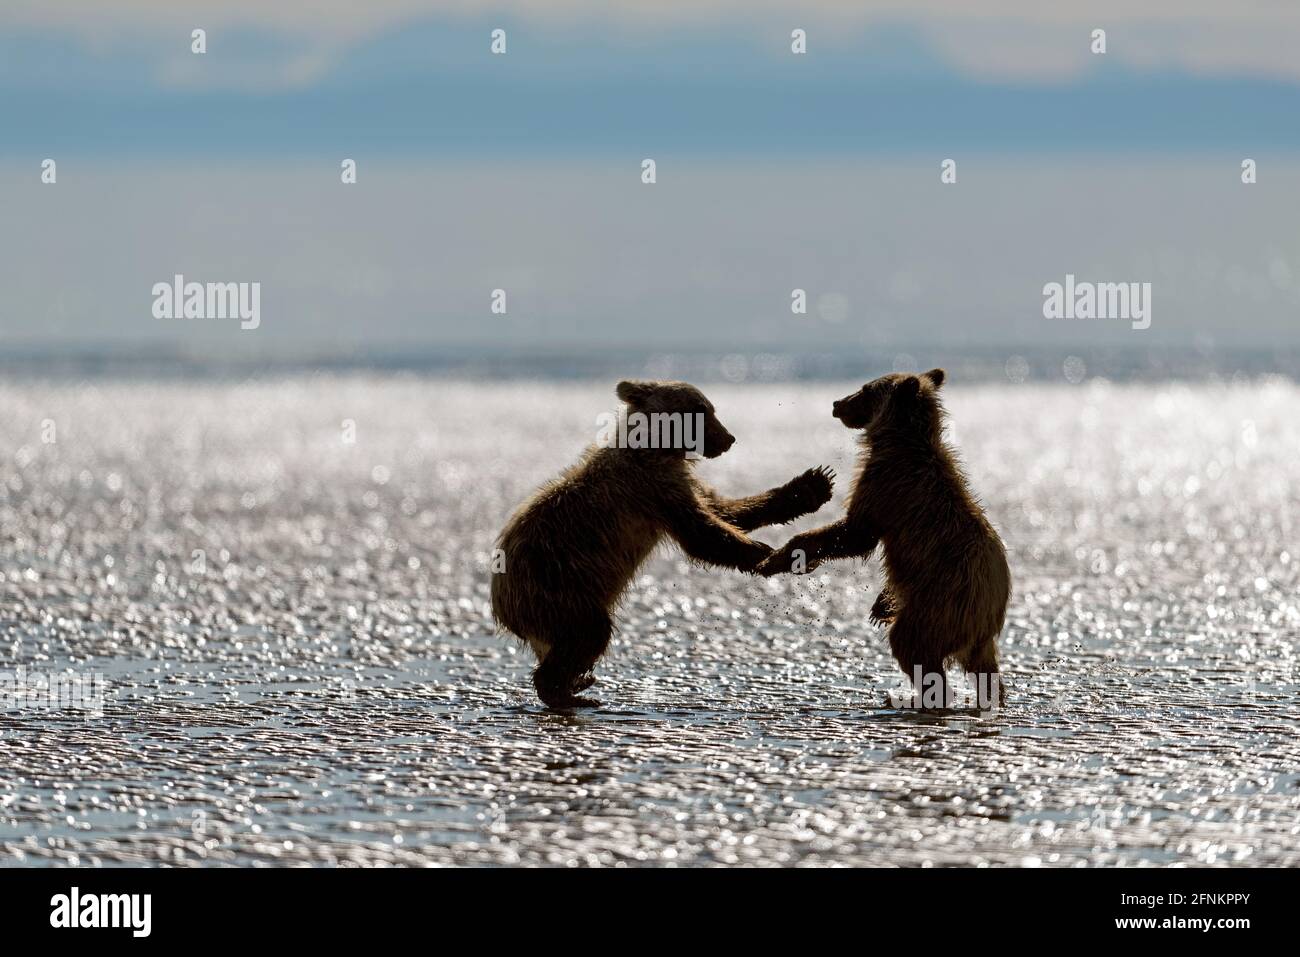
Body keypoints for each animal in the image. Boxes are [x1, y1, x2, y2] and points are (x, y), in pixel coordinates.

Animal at [491, 379, 836, 709]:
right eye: (702, 410)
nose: (728, 438)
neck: (658, 449)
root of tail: (500, 607)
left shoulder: (676, 482)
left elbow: (723, 509)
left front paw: (811, 487)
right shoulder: (651, 489)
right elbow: (703, 534)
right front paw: (772, 555)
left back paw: (577, 683)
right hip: (559, 587)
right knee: (590, 632)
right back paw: (567, 692)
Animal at [757, 369, 1010, 709]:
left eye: (866, 390)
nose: (837, 403)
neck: (898, 440)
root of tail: (992, 608)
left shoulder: (885, 487)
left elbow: (857, 532)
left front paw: (777, 558)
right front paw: (880, 606)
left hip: (941, 602)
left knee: (911, 645)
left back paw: (917, 697)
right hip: (971, 629)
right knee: (985, 670)